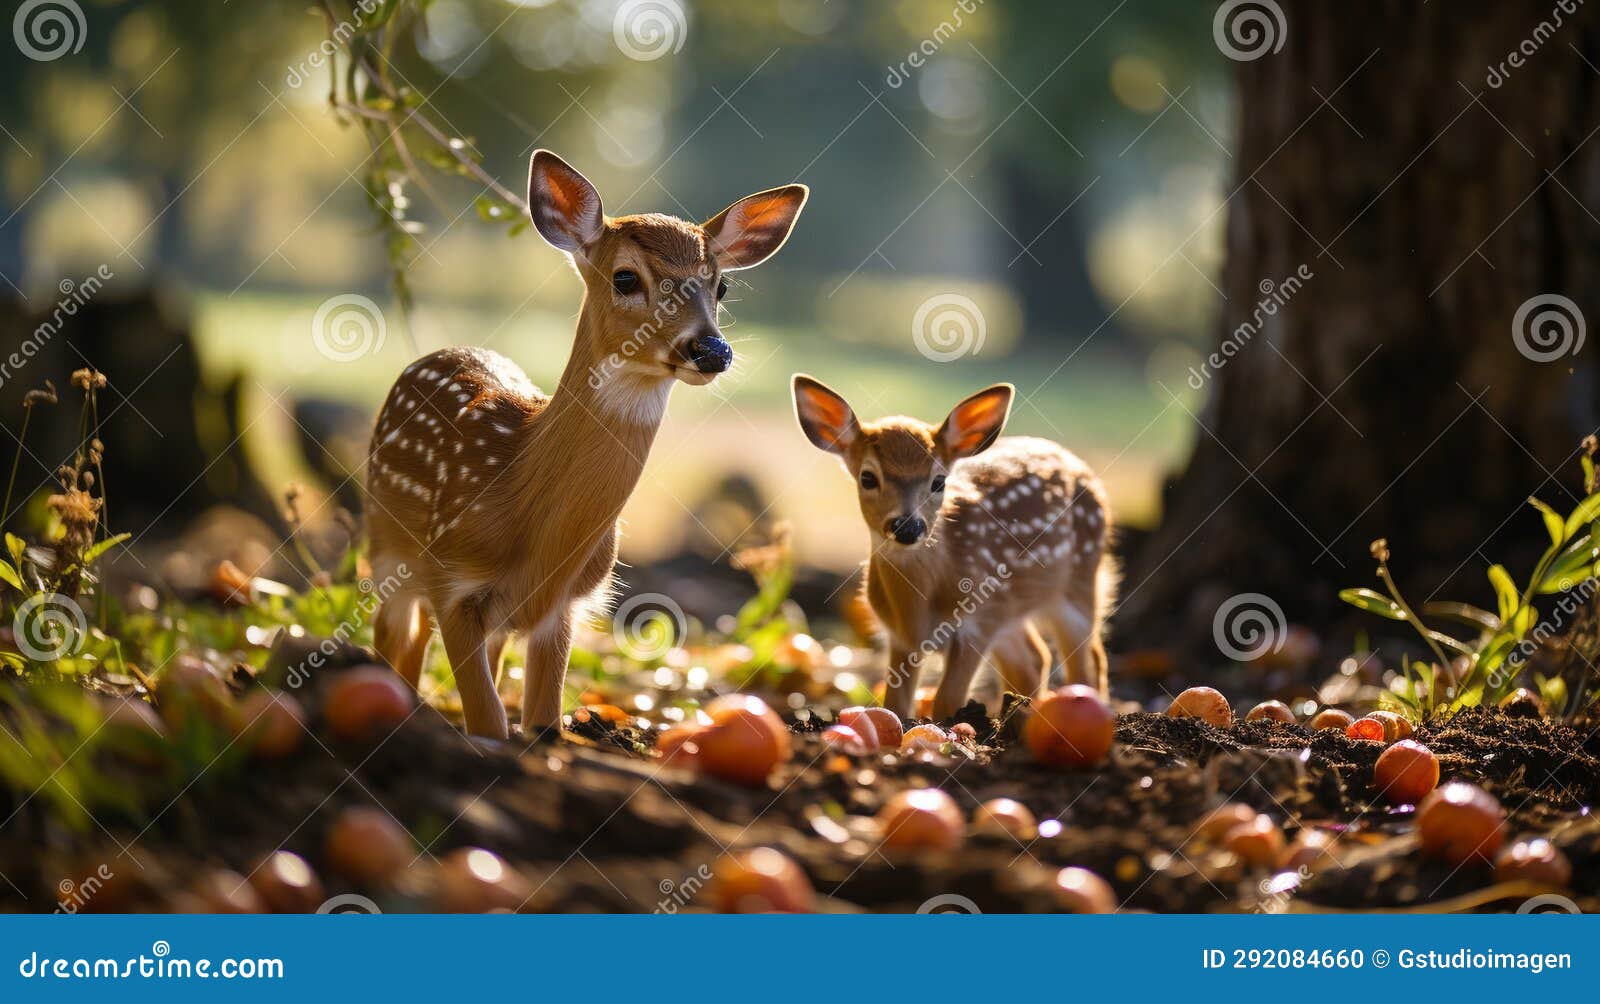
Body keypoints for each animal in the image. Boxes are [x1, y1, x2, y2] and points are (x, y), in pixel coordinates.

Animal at [365, 150, 807, 740]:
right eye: (625, 277)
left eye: (721, 288)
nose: (711, 350)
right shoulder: (451, 579)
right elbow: (488, 723)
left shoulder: (566, 606)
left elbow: (543, 723)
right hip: (385, 548)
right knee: (392, 635)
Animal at [791, 375, 1114, 721]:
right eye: (867, 477)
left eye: (939, 481)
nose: (909, 526)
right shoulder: (901, 637)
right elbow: (896, 705)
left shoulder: (976, 622)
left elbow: (947, 702)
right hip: (1011, 608)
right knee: (1035, 658)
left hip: (1079, 580)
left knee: (1088, 658)